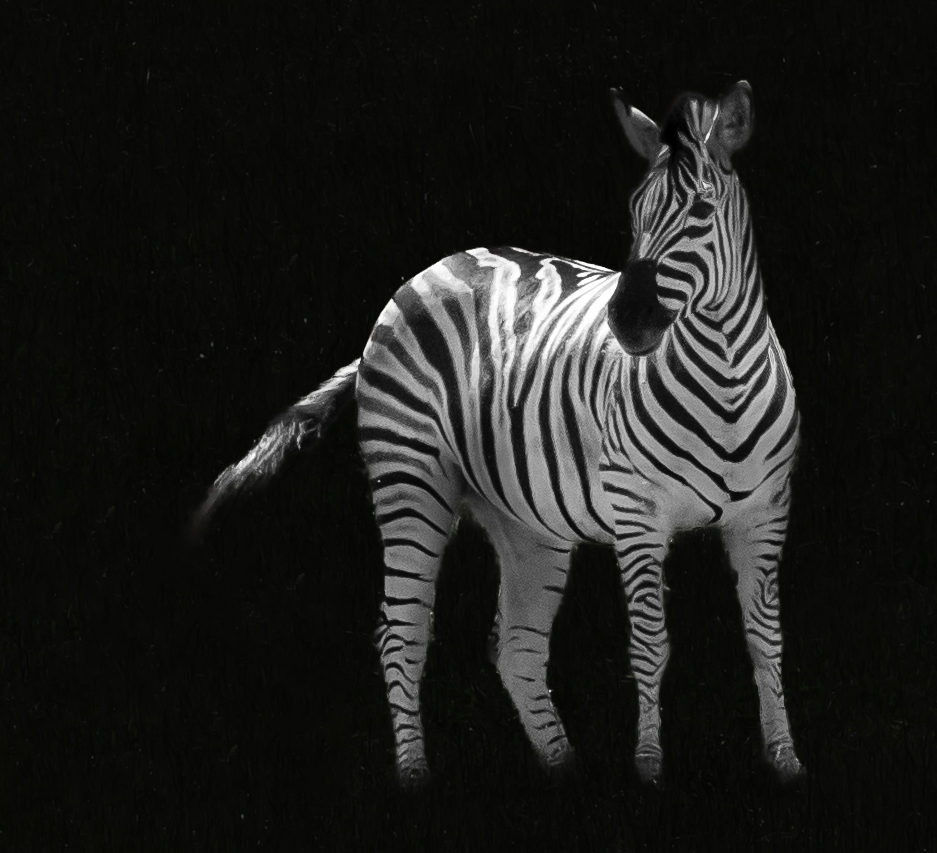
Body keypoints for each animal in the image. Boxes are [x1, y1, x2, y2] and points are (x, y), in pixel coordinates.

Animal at [191, 80, 804, 787]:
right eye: (634, 210)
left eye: (702, 209)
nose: (626, 322)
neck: (725, 383)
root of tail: (433, 267)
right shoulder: (638, 518)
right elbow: (651, 644)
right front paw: (649, 767)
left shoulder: (765, 515)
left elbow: (766, 638)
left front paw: (785, 760)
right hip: (410, 481)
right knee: (401, 634)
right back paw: (415, 775)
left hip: (526, 522)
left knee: (516, 646)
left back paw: (564, 767)